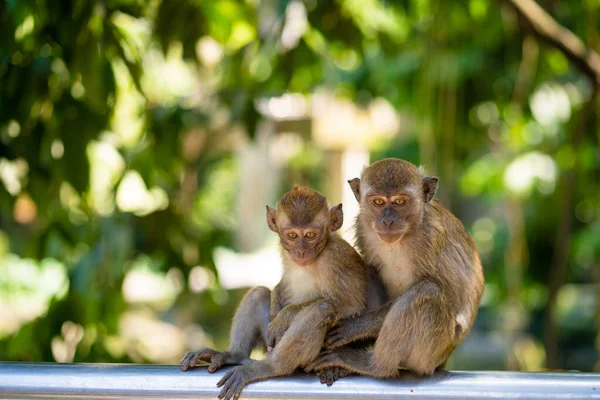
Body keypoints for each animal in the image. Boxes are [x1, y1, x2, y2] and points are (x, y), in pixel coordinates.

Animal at [179, 185, 366, 400]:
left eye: (310, 235)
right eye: (292, 235)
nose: (301, 252)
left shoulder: (336, 258)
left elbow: (351, 305)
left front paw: (285, 317)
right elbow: (281, 286)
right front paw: (277, 301)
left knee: (322, 308)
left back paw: (271, 366)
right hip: (268, 342)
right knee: (259, 293)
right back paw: (233, 355)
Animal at [308, 158, 486, 380]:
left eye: (400, 202)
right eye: (378, 202)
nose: (387, 221)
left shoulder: (430, 239)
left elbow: (449, 296)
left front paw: (355, 327)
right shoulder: (363, 229)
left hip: (432, 352)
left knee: (427, 291)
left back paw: (373, 365)